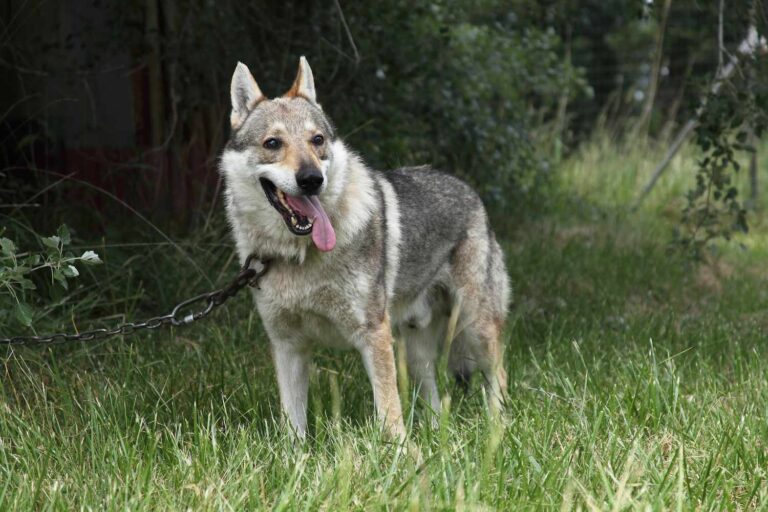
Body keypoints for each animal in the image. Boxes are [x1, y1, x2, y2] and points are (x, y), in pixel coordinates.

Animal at [221, 57, 510, 439]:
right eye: (273, 143)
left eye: (317, 140)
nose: (312, 179)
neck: (300, 257)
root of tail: (471, 192)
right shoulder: (287, 346)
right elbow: (293, 425)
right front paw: (295, 455)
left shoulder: (373, 335)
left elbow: (389, 413)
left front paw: (400, 451)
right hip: (415, 350)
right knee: (433, 394)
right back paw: (436, 433)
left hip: (474, 326)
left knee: (498, 377)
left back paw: (498, 430)